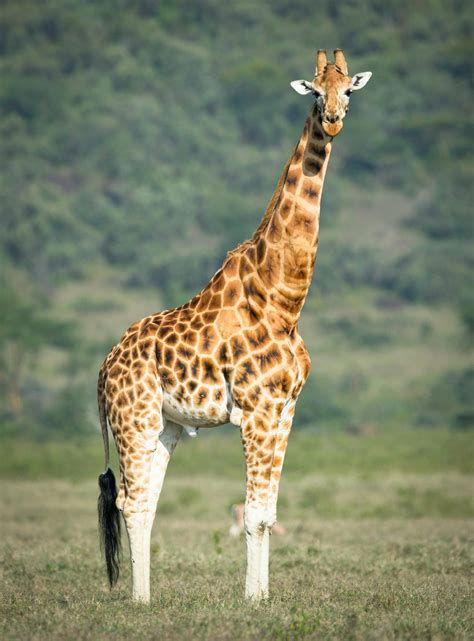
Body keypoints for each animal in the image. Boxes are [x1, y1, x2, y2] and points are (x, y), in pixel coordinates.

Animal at [97, 49, 372, 603]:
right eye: (315, 91)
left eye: (349, 89)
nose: (333, 119)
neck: (284, 300)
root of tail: (103, 368)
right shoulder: (257, 410)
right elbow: (251, 516)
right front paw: (251, 598)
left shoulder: (285, 410)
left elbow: (266, 513)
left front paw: (263, 597)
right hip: (133, 419)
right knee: (130, 504)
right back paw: (139, 600)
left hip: (166, 427)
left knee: (146, 504)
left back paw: (147, 597)